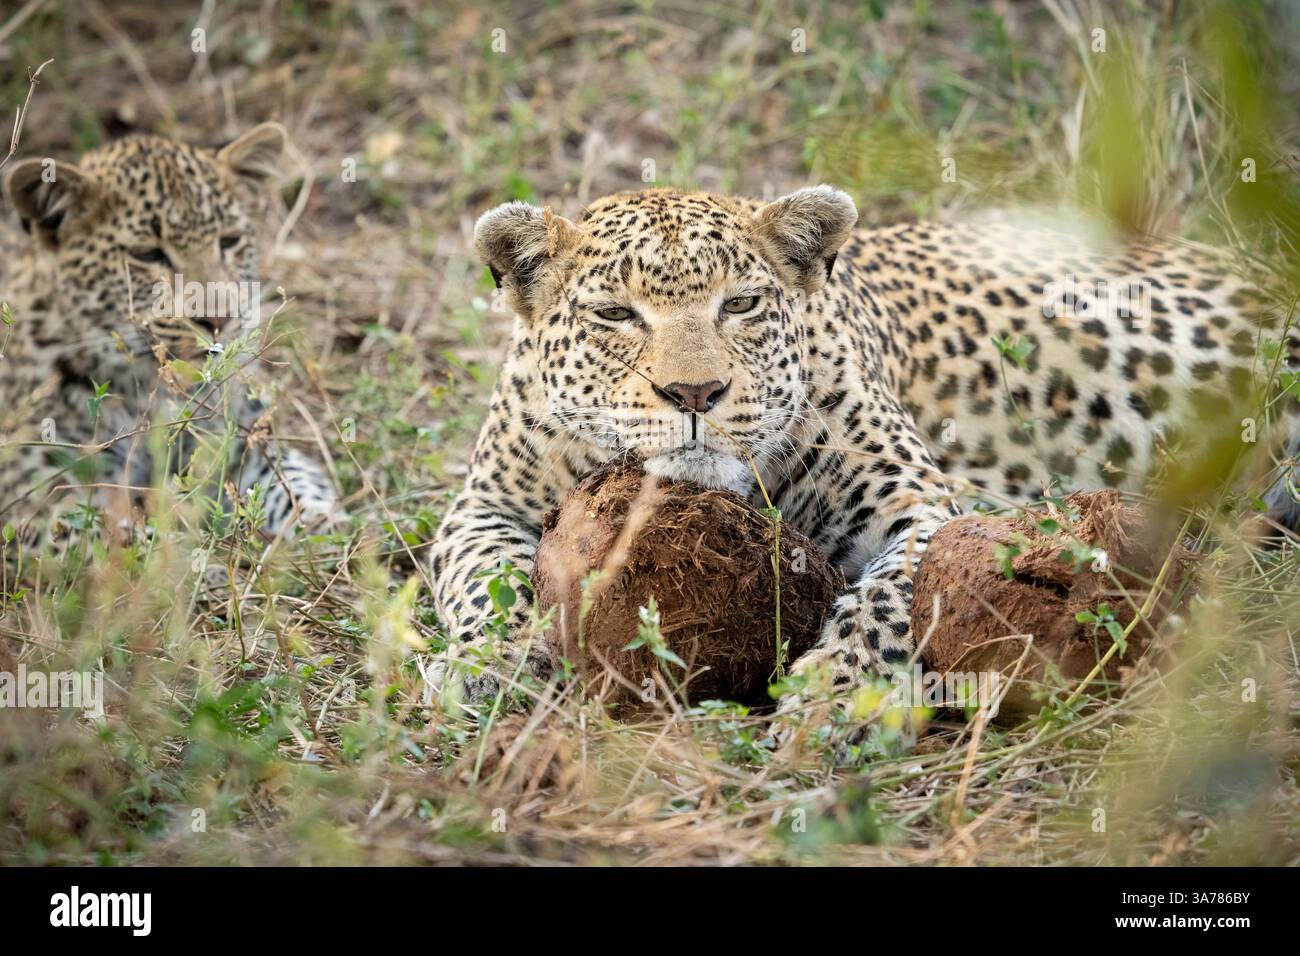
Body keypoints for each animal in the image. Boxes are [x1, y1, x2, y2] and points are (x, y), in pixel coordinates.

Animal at [0, 123, 341, 555]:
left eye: (229, 241)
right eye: (148, 254)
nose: (219, 319)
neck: (154, 388)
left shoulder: (240, 440)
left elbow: (294, 479)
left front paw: (330, 528)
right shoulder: (31, 474)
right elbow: (77, 530)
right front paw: (141, 551)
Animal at [427, 185, 1300, 719]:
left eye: (741, 304)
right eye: (615, 314)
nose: (696, 394)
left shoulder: (918, 508)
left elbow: (890, 603)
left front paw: (835, 699)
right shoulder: (482, 507)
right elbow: (487, 586)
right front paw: (495, 665)